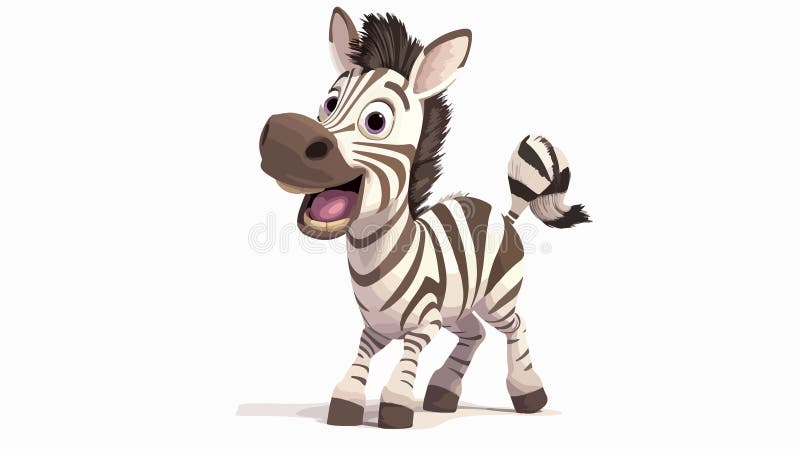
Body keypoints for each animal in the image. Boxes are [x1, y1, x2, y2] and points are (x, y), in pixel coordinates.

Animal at [258, 8, 590, 429]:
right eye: (330, 103)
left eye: (376, 120)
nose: (284, 136)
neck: (376, 256)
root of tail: (505, 213)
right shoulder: (377, 326)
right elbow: (360, 357)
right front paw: (347, 399)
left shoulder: (424, 321)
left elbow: (407, 357)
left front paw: (396, 404)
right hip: (459, 308)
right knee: (474, 334)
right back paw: (443, 392)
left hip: (497, 298)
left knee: (516, 326)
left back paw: (529, 392)